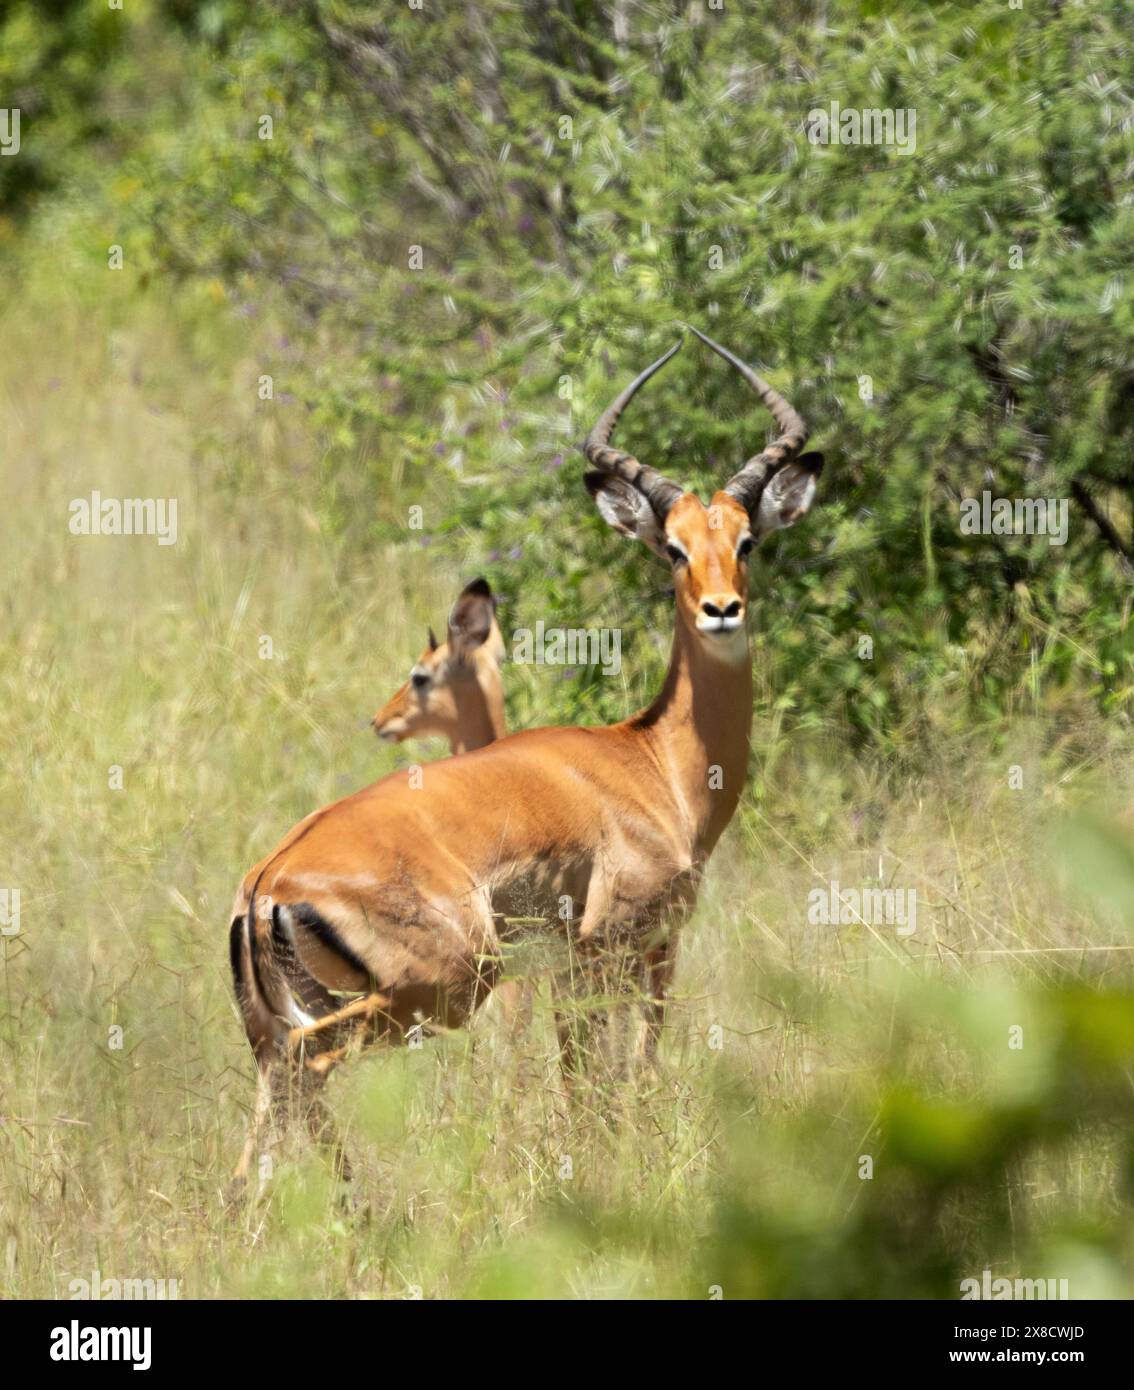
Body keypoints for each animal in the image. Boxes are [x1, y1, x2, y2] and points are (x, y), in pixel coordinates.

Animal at [228, 327, 823, 1185]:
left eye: (746, 540)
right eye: (674, 549)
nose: (722, 610)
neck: (653, 763)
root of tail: (270, 881)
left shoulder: (571, 968)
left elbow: (585, 1082)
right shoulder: (633, 947)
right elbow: (624, 1075)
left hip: (282, 1019)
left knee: (270, 1109)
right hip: (437, 991)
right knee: (308, 1068)